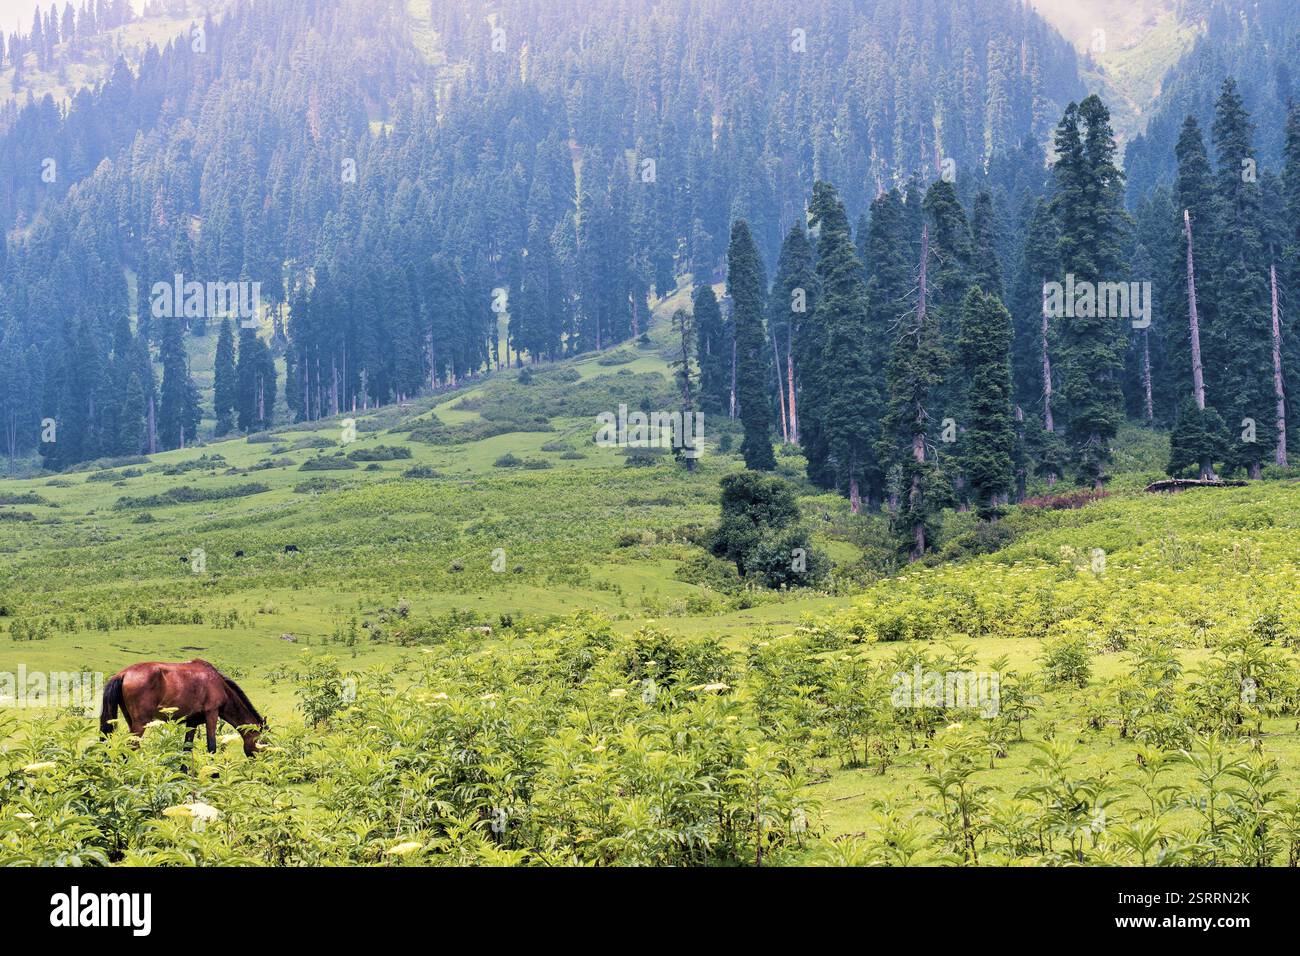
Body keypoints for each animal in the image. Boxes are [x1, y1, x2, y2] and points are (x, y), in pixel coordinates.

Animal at [100, 660, 264, 758]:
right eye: (263, 742)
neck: (219, 685)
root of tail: (123, 674)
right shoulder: (212, 714)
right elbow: (211, 747)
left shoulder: (192, 722)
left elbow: (187, 749)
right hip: (141, 723)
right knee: (131, 747)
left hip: (131, 721)